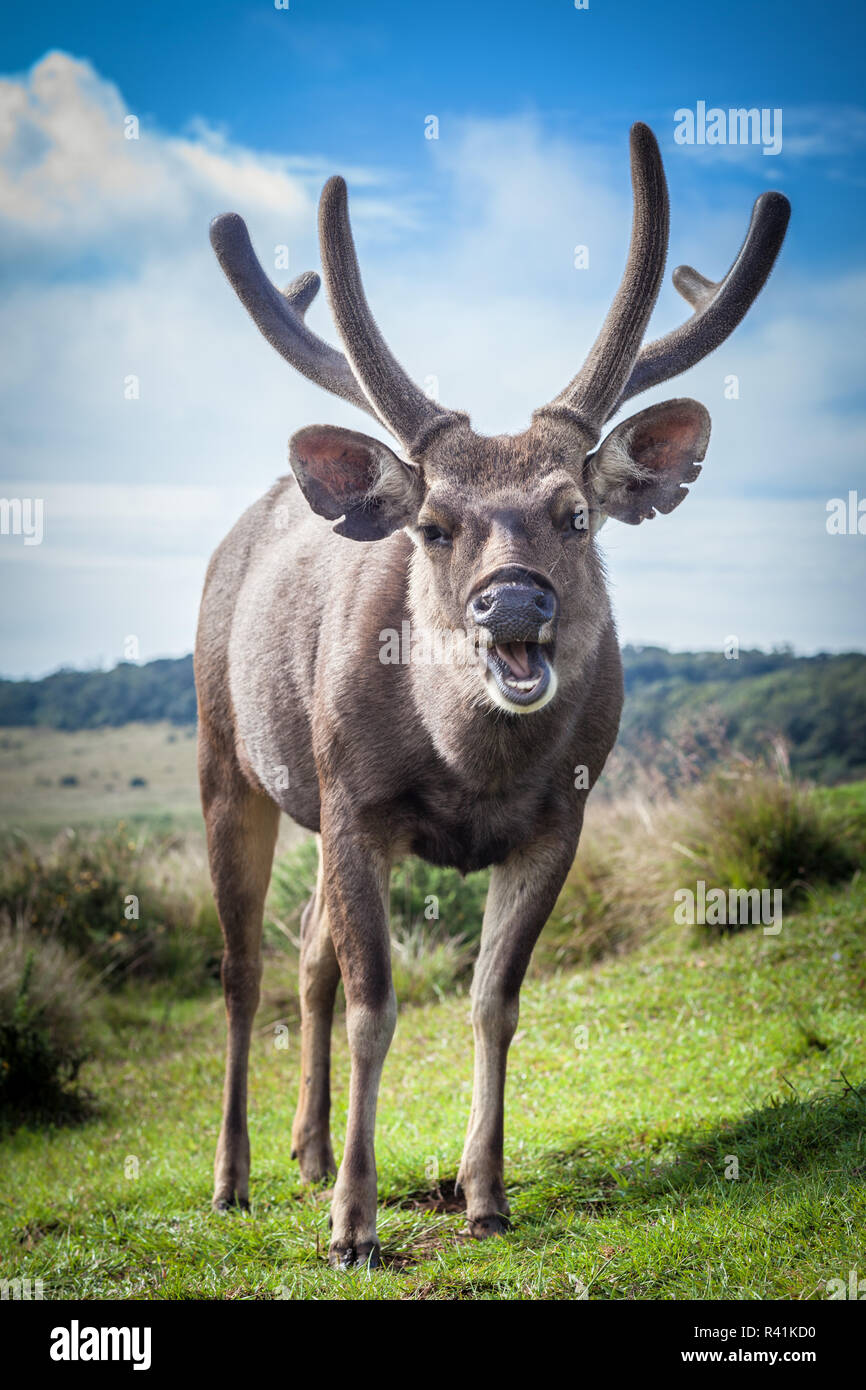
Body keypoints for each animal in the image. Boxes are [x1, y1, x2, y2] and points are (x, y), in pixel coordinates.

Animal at [196, 123, 789, 1268]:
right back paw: (237, 1177)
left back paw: (307, 1149)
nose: (511, 602)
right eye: (433, 524)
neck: (467, 770)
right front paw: (354, 1225)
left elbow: (492, 1001)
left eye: (574, 514)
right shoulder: (354, 803)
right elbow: (378, 1007)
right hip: (224, 755)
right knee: (243, 969)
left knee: (308, 946)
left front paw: (484, 1193)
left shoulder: (562, 815)